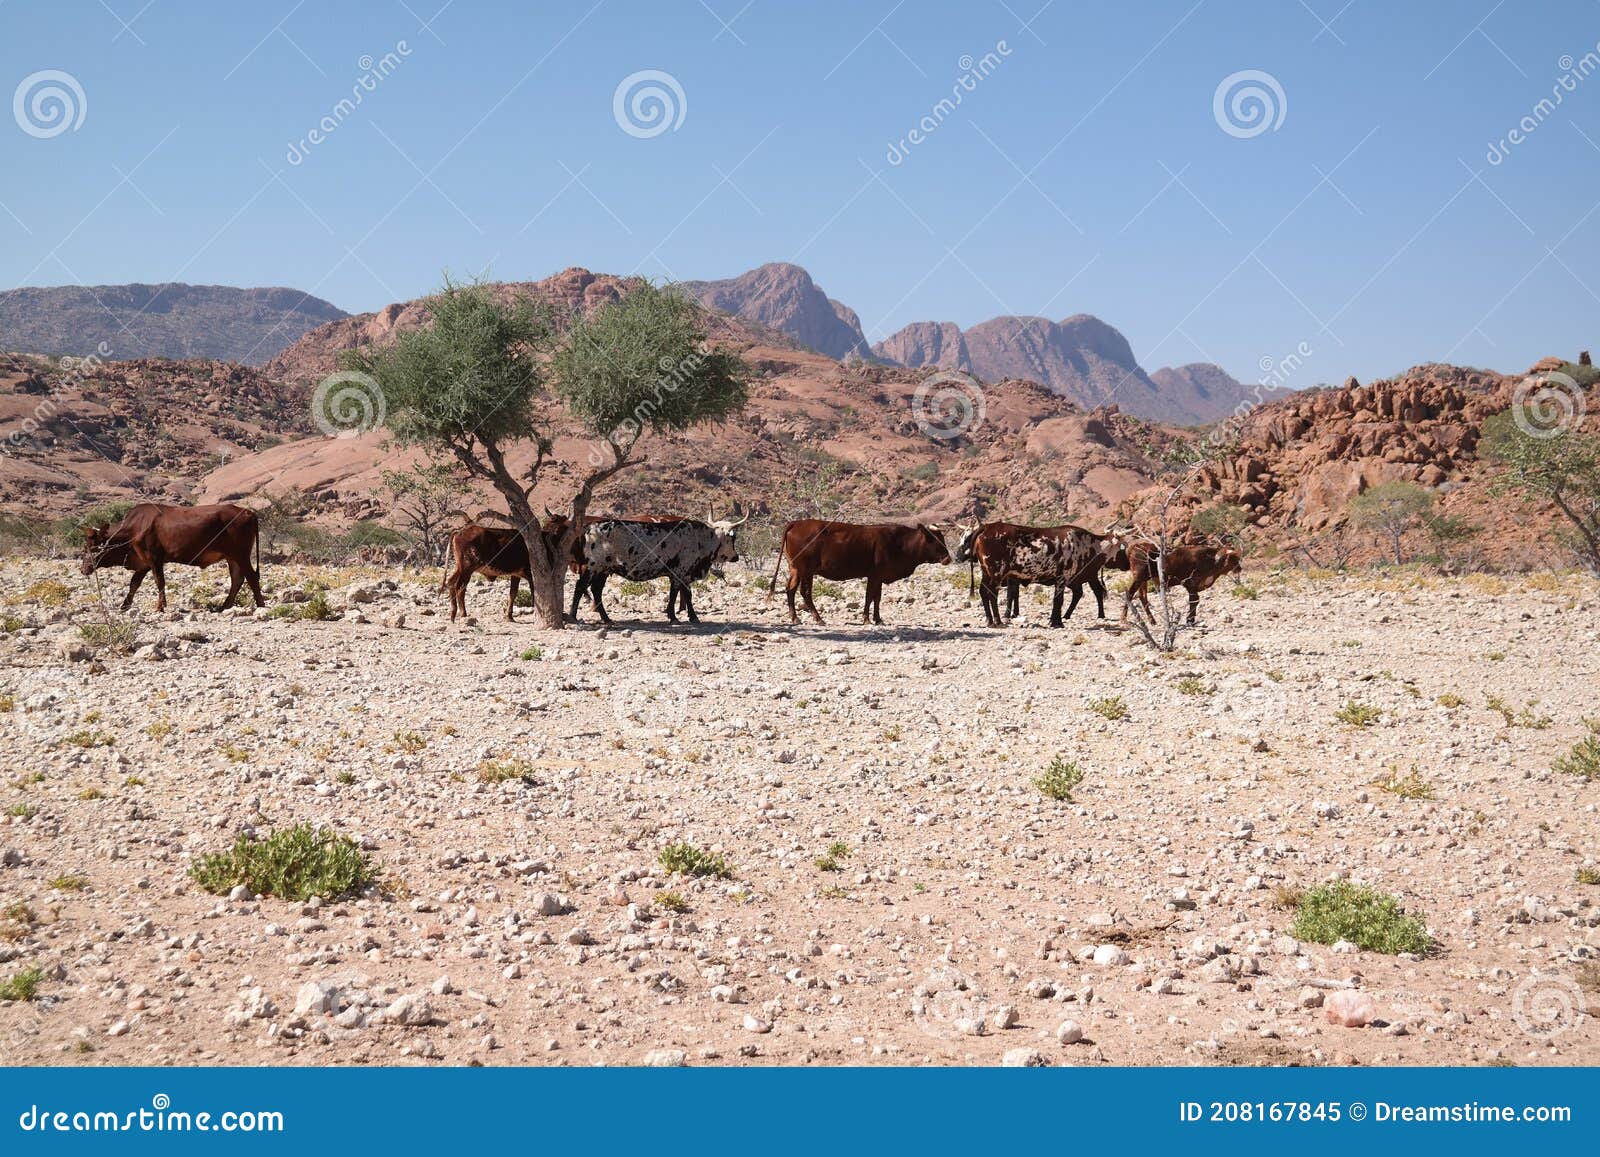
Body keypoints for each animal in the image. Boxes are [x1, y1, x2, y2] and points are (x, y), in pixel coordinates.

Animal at [79, 502, 263, 613]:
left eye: (93, 547)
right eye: (85, 547)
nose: (83, 569)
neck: (132, 529)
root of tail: (247, 511)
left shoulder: (154, 558)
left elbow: (159, 581)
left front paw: (160, 607)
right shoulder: (143, 563)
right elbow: (134, 584)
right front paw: (124, 606)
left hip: (241, 554)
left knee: (251, 577)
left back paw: (261, 605)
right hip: (232, 557)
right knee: (237, 579)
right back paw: (224, 606)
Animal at [576, 516, 744, 625]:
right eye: (732, 538)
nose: (736, 557)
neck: (700, 538)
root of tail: (590, 526)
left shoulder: (684, 575)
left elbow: (684, 595)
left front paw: (688, 616)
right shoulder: (680, 573)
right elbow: (678, 594)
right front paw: (676, 617)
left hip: (603, 570)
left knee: (596, 591)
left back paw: (606, 618)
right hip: (593, 567)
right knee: (580, 587)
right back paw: (573, 616)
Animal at [770, 520, 951, 625]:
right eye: (933, 539)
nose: (948, 558)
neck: (900, 543)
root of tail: (797, 523)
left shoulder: (879, 576)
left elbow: (877, 598)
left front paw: (878, 619)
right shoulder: (875, 575)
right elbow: (869, 596)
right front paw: (866, 619)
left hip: (795, 569)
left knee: (790, 589)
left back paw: (795, 618)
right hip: (806, 570)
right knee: (805, 592)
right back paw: (818, 619)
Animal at [953, 523, 1130, 626]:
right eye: (1123, 547)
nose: (1128, 564)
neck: (1086, 543)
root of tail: (987, 527)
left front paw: (1055, 619)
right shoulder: (1062, 577)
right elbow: (1058, 600)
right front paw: (1056, 622)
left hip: (986, 572)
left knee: (983, 592)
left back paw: (990, 620)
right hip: (996, 572)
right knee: (991, 593)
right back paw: (997, 620)